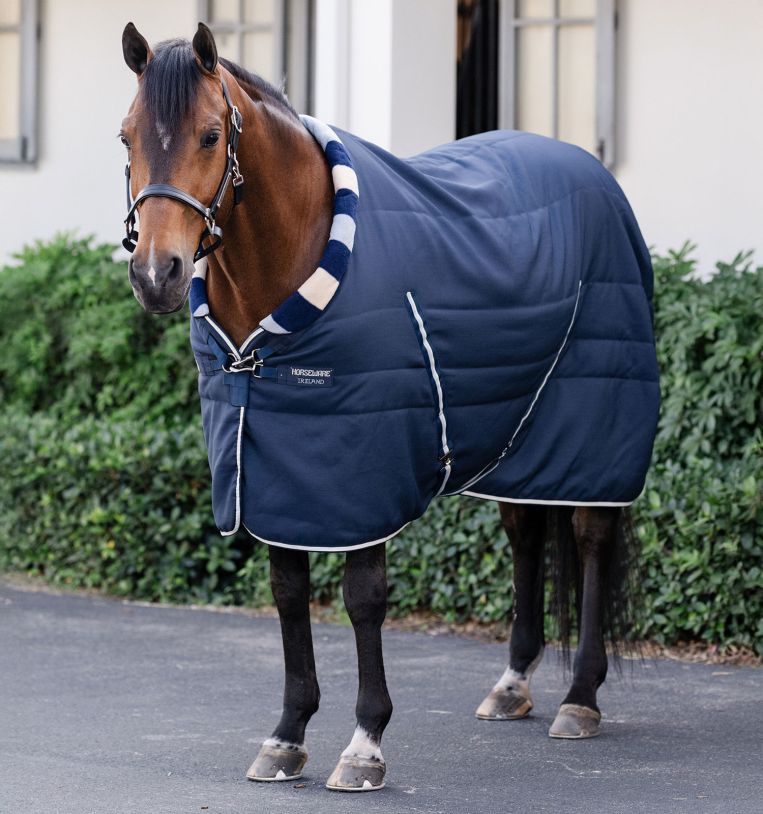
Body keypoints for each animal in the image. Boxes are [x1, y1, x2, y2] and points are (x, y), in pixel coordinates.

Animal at [119, 22, 659, 792]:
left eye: (210, 135)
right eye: (125, 135)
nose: (155, 274)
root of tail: (593, 173)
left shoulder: (360, 470)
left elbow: (364, 597)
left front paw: (364, 744)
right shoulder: (275, 463)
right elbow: (288, 591)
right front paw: (286, 736)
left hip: (592, 424)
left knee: (588, 536)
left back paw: (580, 697)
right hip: (519, 436)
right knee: (525, 531)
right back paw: (512, 684)